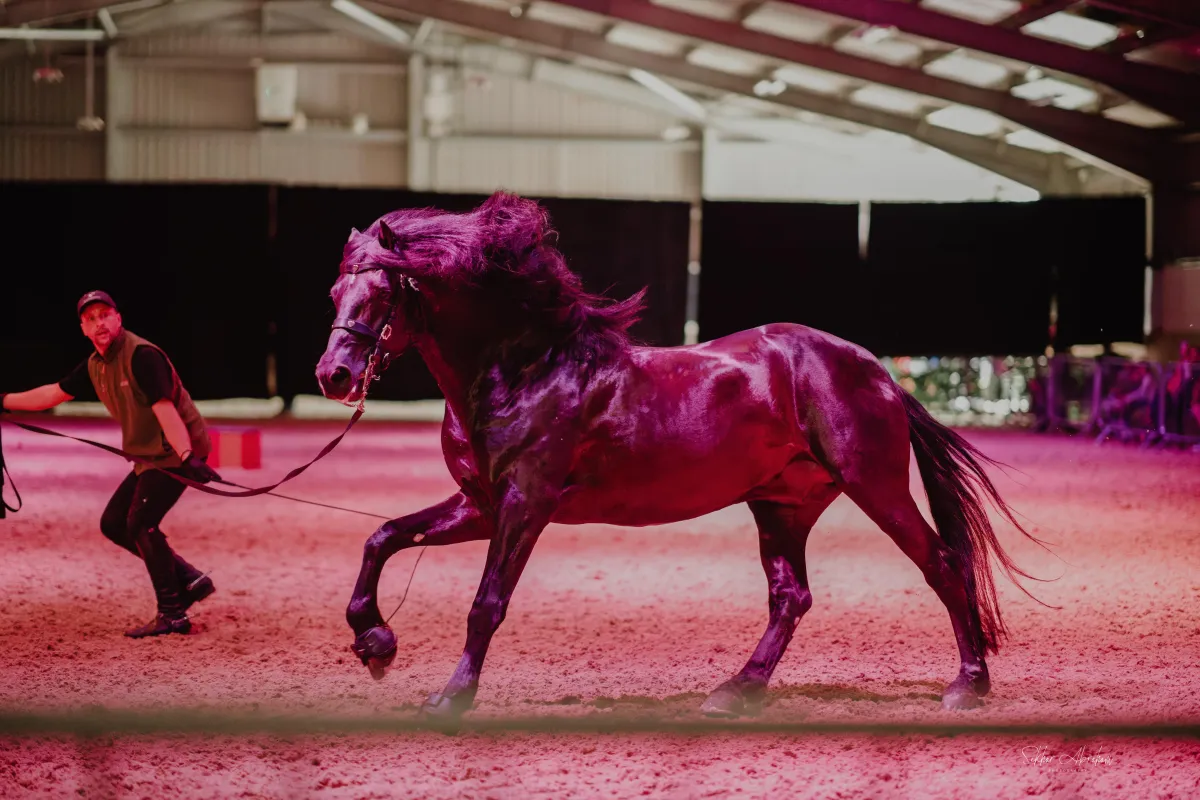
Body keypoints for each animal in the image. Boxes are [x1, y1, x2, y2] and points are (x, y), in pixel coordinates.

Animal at [315, 191, 1045, 721]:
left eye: (382, 295)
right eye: (334, 294)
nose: (334, 376)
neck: (526, 367)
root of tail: (876, 369)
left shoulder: (525, 504)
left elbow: (486, 601)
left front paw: (449, 696)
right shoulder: (482, 506)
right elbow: (383, 537)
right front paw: (375, 645)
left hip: (876, 486)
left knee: (943, 565)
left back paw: (967, 686)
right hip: (782, 504)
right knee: (791, 597)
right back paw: (735, 691)